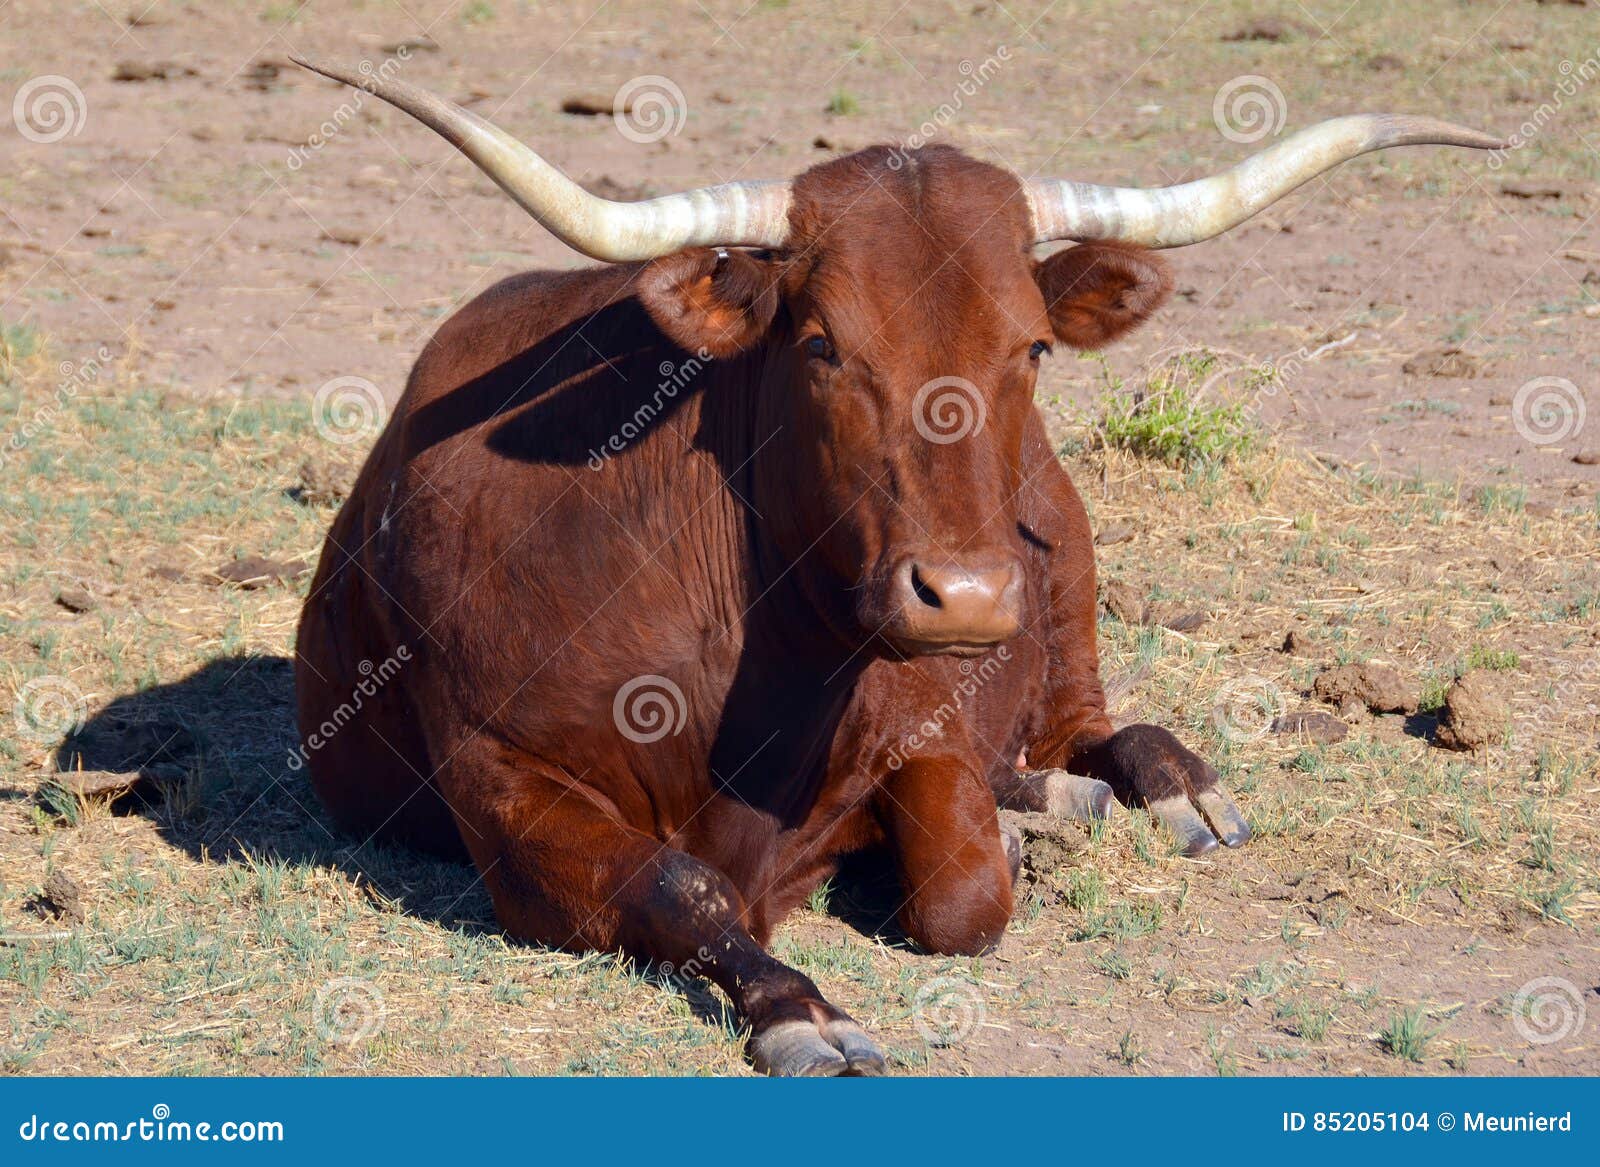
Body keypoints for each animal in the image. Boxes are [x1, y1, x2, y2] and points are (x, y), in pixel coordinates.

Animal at [289, 56, 1499, 1075]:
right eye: (822, 344)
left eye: (1033, 346)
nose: (964, 595)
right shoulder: (502, 786)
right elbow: (682, 887)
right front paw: (804, 1012)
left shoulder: (931, 723)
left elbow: (964, 892)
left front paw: (992, 841)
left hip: (1069, 583)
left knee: (1093, 725)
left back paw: (1165, 791)